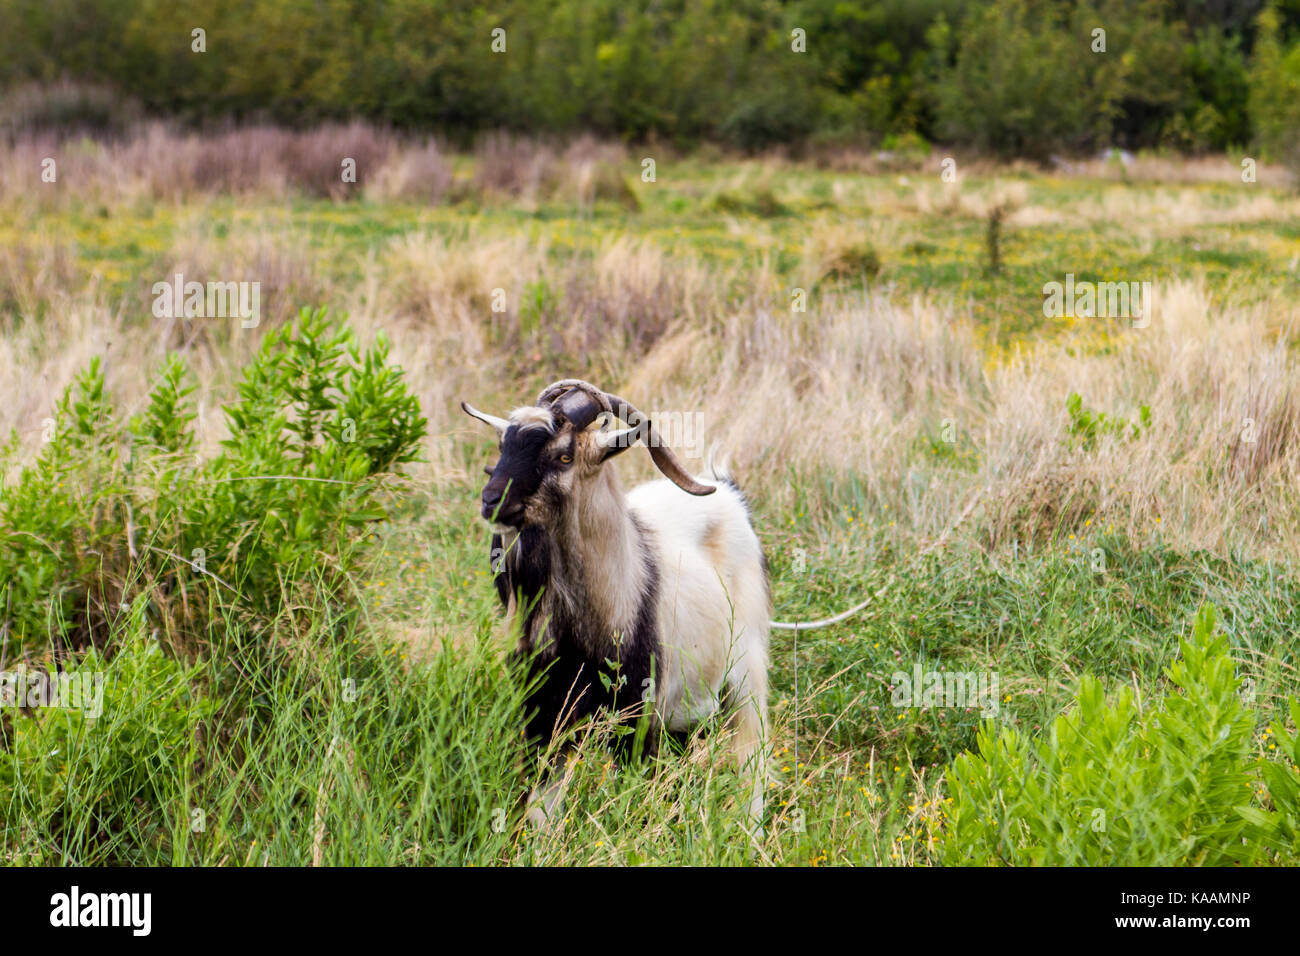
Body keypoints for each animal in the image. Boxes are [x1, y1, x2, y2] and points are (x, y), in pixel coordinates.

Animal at [462, 379, 771, 828]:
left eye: (564, 455)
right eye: (504, 444)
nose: (492, 501)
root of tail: (730, 495)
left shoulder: (637, 718)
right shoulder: (544, 715)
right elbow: (542, 804)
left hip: (747, 673)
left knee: (752, 755)